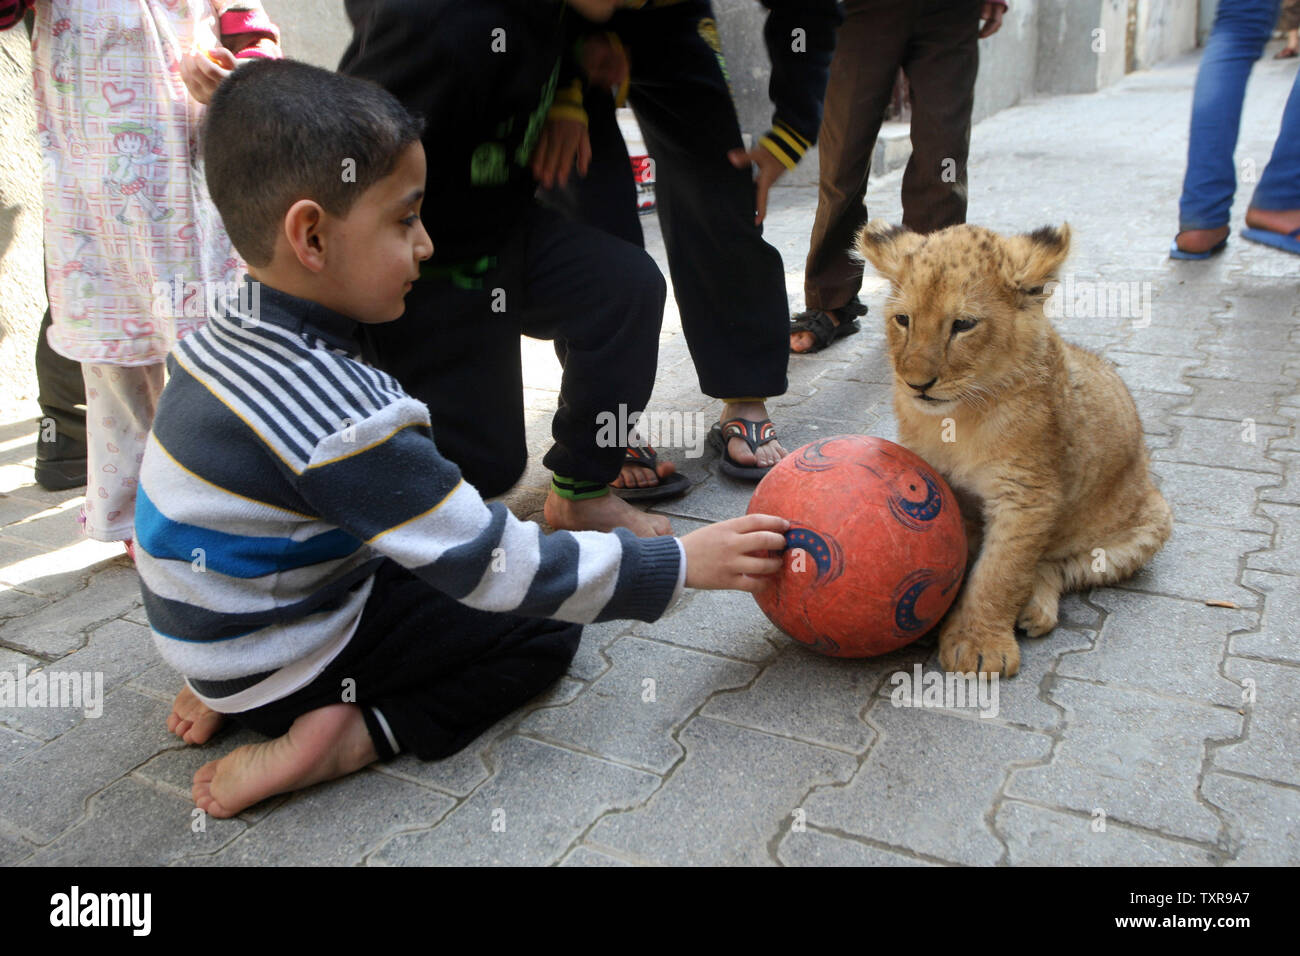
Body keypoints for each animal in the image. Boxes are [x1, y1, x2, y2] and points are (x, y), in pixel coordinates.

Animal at [855, 220, 1172, 676]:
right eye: (903, 320)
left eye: (963, 325)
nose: (916, 383)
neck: (959, 417)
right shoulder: (942, 483)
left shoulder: (1026, 495)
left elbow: (1000, 572)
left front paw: (978, 644)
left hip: (1150, 523)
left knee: (1054, 565)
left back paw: (1034, 607)